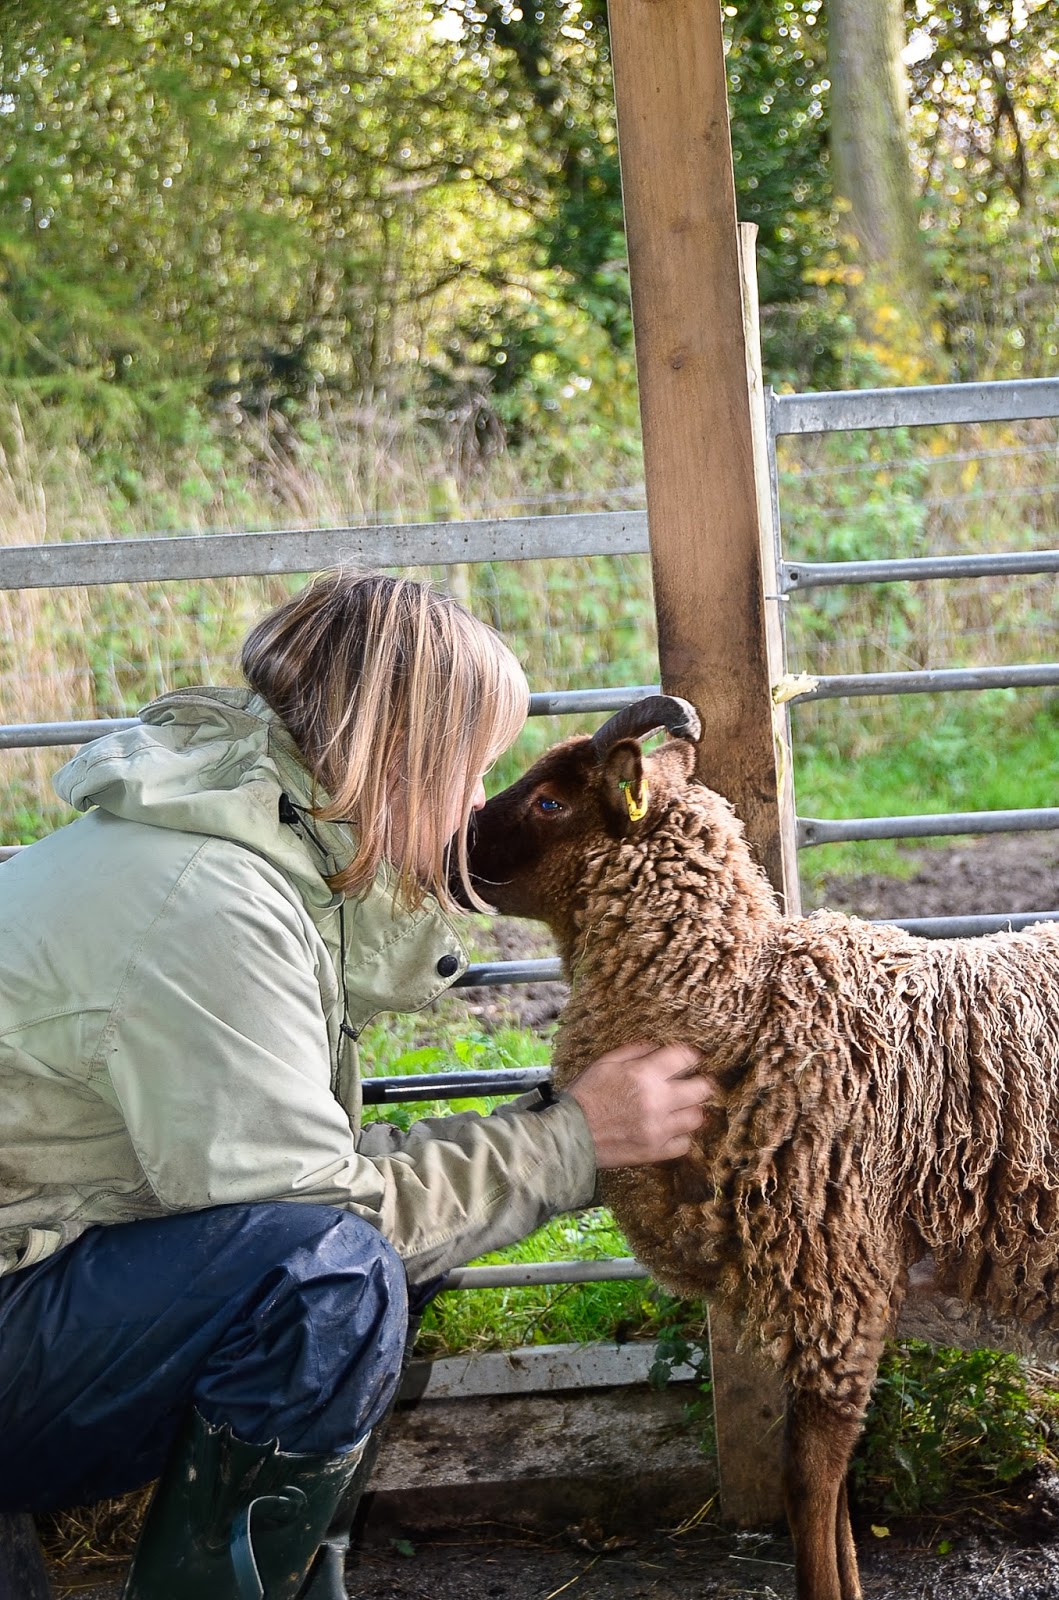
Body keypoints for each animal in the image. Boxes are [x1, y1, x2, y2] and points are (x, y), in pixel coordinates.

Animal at [464, 694, 1059, 1600]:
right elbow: (836, 1488)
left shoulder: (836, 1286)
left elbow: (806, 1482)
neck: (744, 1004)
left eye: (548, 801)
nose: (454, 842)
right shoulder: (826, 1302)